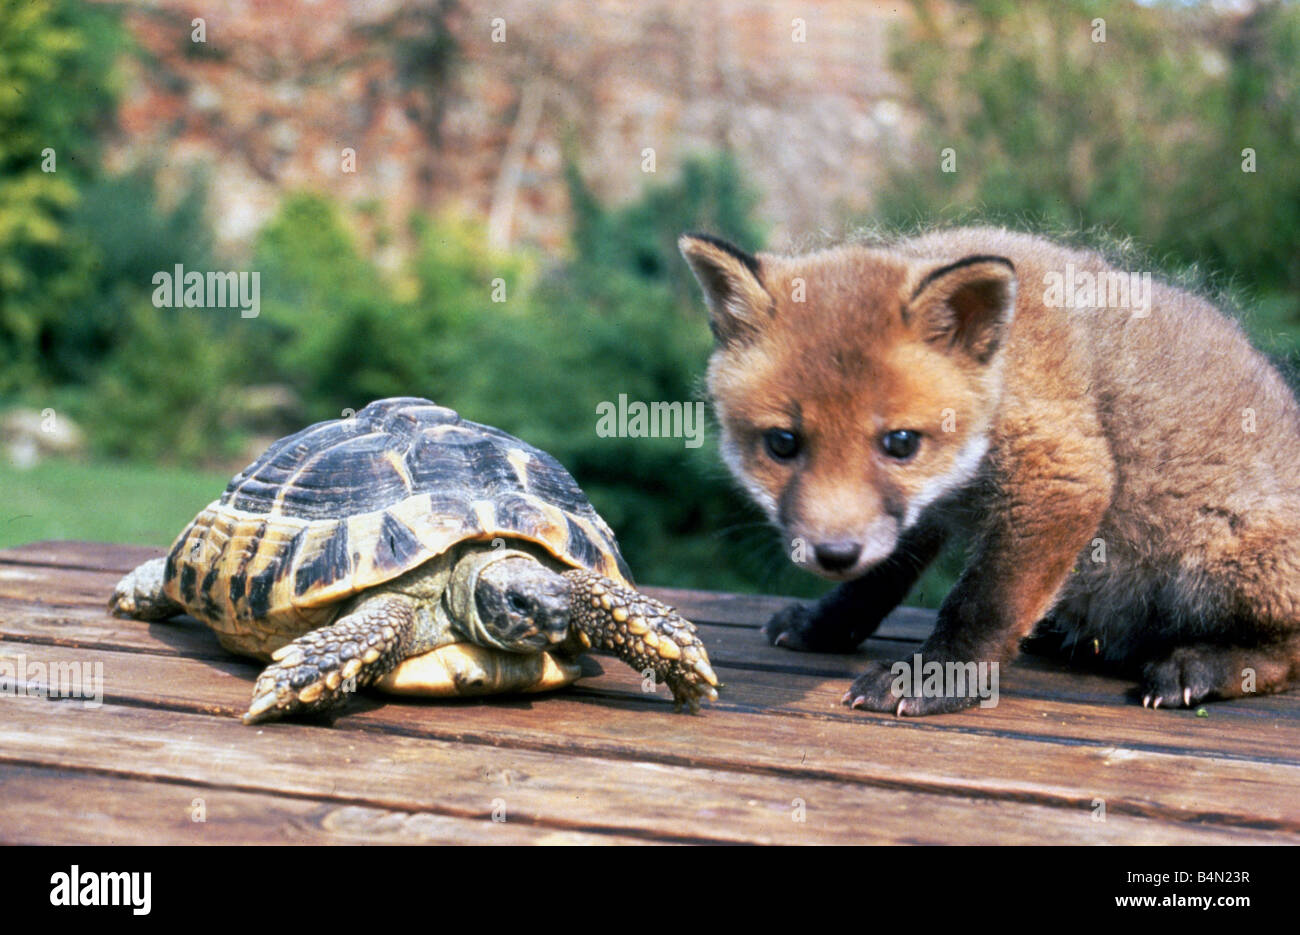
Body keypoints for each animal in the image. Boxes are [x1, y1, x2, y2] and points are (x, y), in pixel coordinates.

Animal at [679, 226, 1300, 716]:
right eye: (783, 443)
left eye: (899, 442)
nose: (833, 553)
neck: (1002, 374)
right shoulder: (922, 509)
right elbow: (874, 585)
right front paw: (823, 625)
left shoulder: (1062, 474)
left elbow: (981, 605)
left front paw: (937, 679)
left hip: (1221, 558)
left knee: (1288, 652)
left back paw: (1202, 666)